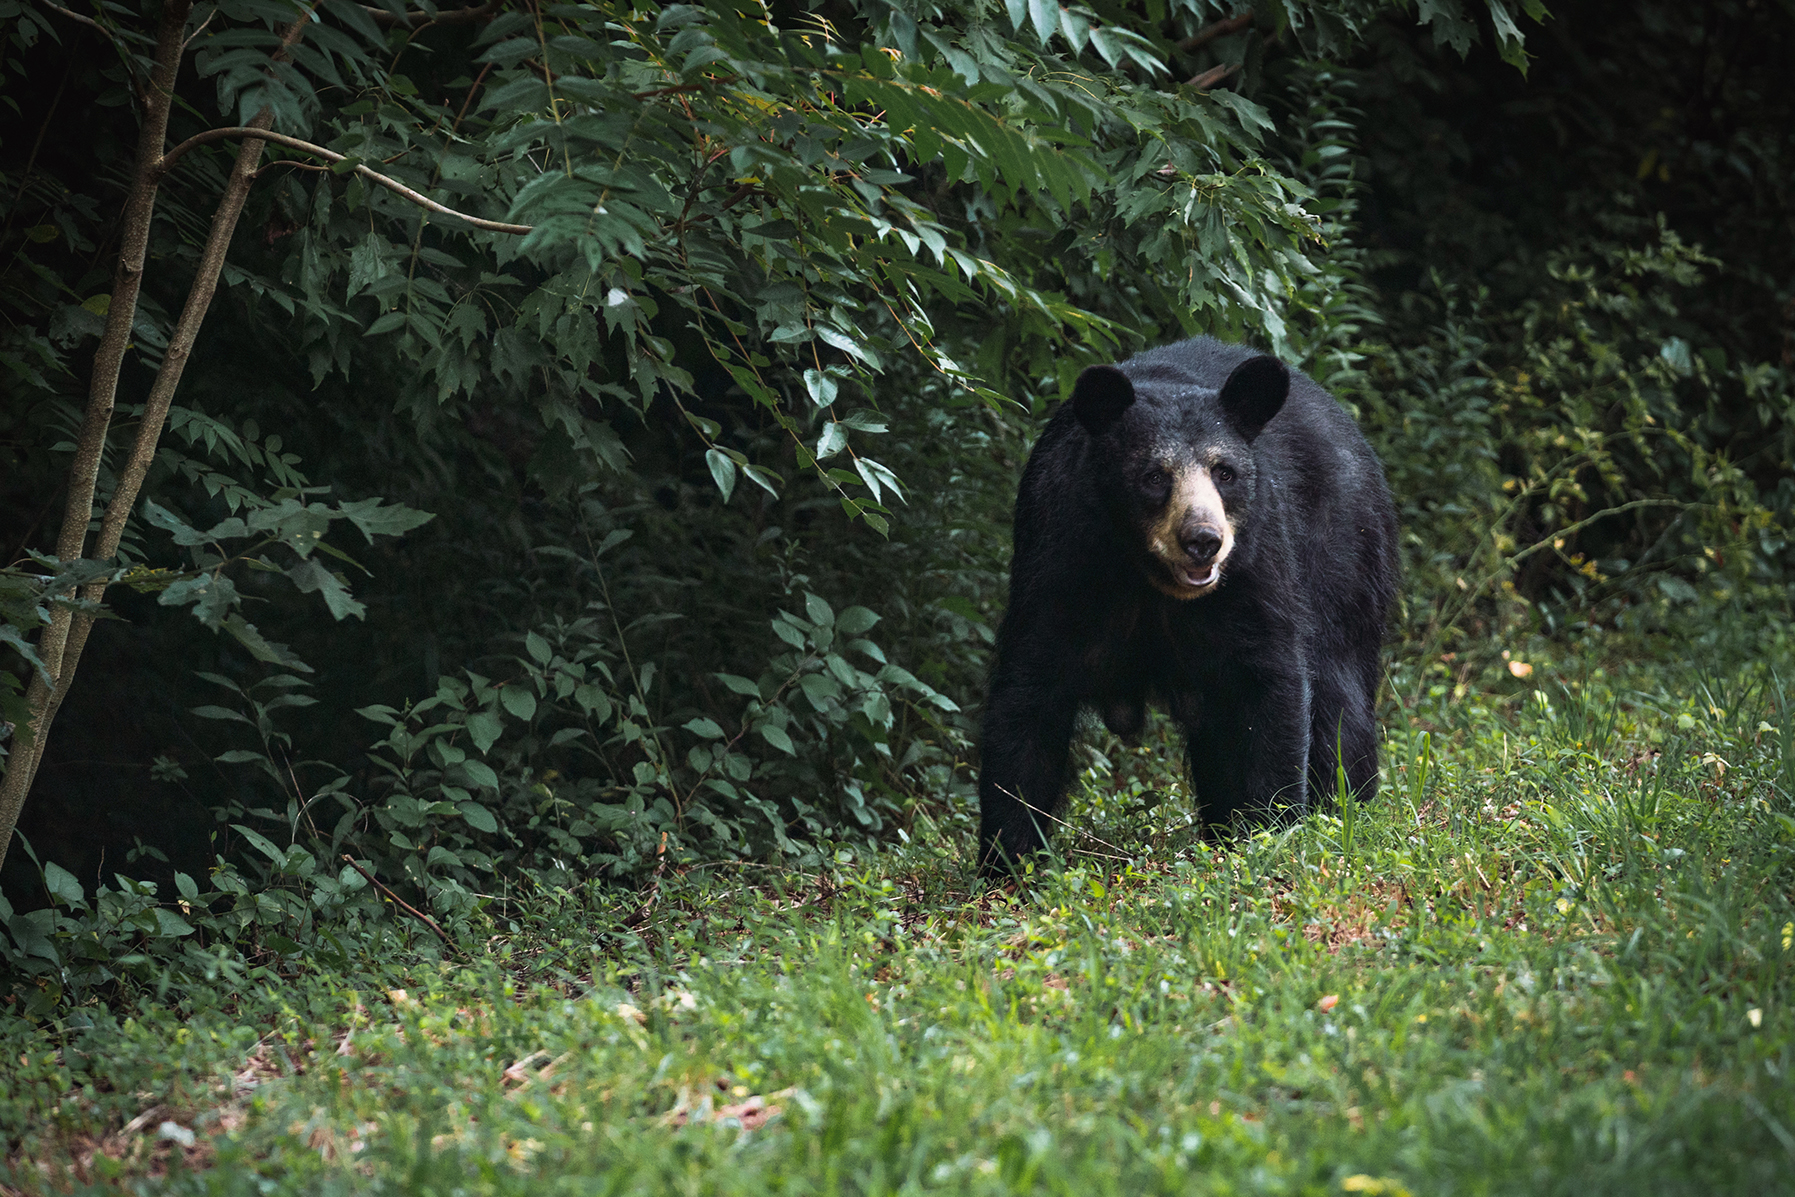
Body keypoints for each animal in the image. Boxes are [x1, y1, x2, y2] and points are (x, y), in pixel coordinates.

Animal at [977, 336, 1398, 877]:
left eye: (1225, 472)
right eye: (1154, 476)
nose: (1203, 540)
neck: (1150, 583)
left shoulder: (1255, 570)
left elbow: (1272, 683)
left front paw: (1273, 831)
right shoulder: (1060, 563)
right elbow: (1027, 702)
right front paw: (1007, 864)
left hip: (1343, 553)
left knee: (1337, 695)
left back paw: (1344, 806)